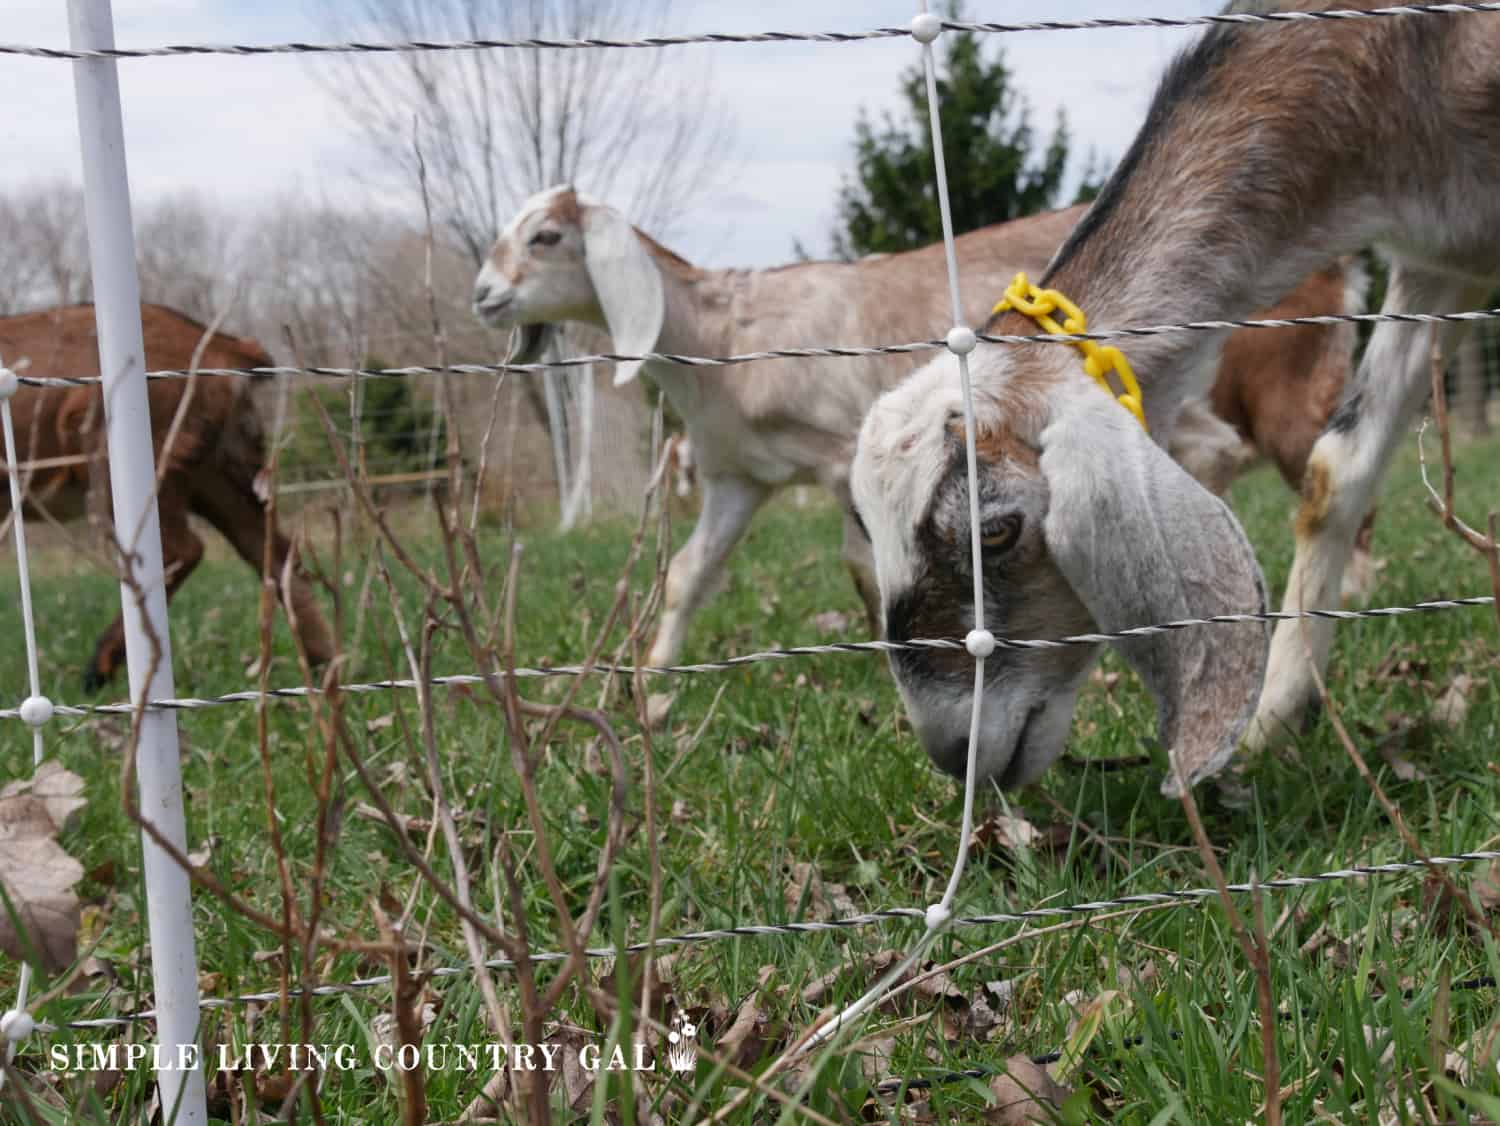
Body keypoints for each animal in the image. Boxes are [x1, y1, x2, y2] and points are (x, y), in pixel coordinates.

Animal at [0, 303, 336, 690]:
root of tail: (227, 348)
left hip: (121, 460)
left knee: (184, 549)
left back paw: (101, 668)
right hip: (220, 468)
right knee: (274, 553)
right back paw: (325, 672)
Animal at [474, 186, 1361, 669]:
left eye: (545, 236)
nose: (483, 295)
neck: (726, 334)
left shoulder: (844, 453)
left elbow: (862, 562)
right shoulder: (736, 474)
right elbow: (691, 572)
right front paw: (652, 692)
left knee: (1238, 454)